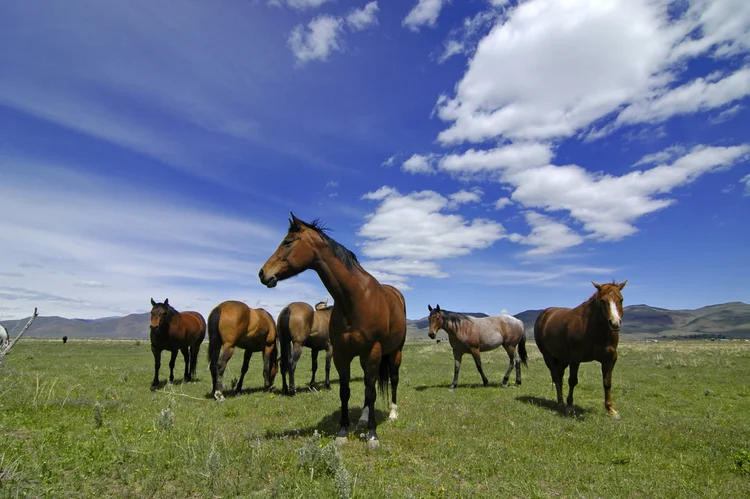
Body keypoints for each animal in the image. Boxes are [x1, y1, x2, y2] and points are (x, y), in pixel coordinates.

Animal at [259, 214, 406, 446]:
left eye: (288, 242)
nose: (263, 273)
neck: (354, 299)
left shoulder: (371, 351)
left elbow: (371, 391)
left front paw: (373, 434)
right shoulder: (341, 353)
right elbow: (345, 391)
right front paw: (343, 431)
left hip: (394, 352)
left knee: (392, 379)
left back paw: (392, 413)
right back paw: (363, 416)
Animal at [534, 280, 627, 418]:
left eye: (621, 300)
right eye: (603, 301)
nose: (615, 323)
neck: (595, 330)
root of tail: (544, 314)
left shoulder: (609, 359)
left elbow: (607, 382)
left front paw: (611, 409)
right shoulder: (575, 358)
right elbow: (572, 381)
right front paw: (570, 407)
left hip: (562, 359)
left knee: (559, 376)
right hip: (548, 356)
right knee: (556, 376)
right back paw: (561, 402)